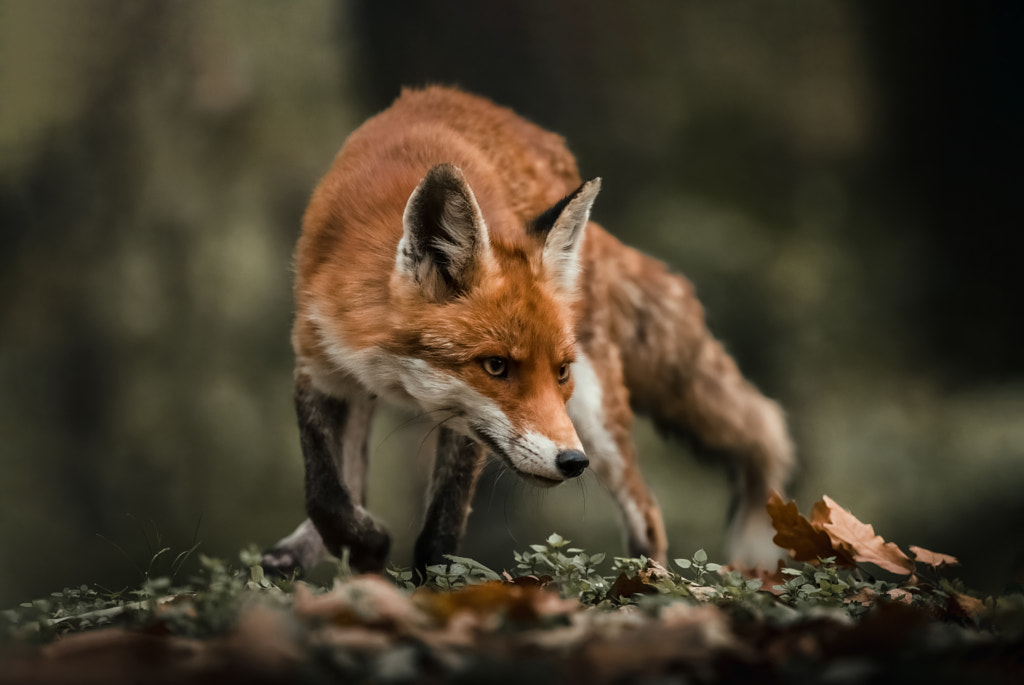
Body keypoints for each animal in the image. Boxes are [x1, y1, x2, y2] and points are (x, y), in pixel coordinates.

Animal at [261, 86, 794, 577]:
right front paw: (363, 546)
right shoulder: (320, 370)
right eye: (497, 366)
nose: (572, 463)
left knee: (647, 511)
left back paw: (647, 588)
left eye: (560, 371)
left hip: (597, 418)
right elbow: (327, 495)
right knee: (354, 476)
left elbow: (440, 529)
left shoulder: (466, 424)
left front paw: (426, 590)